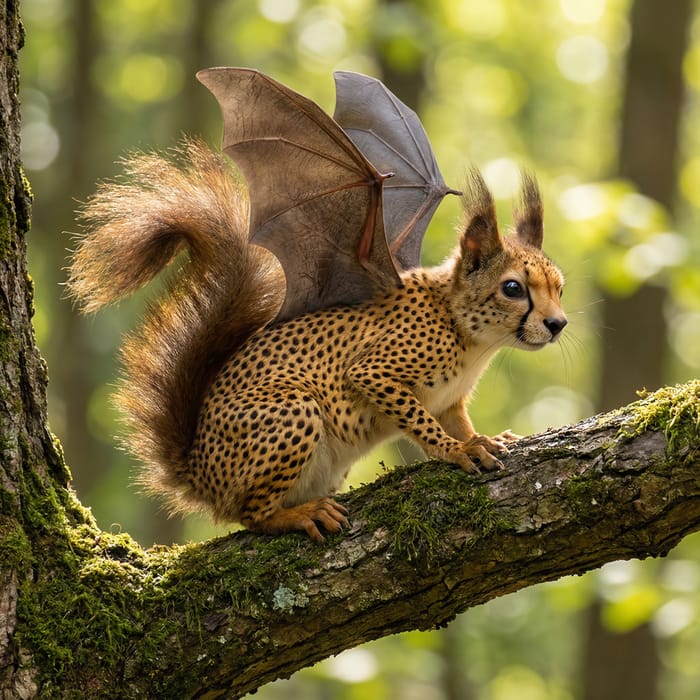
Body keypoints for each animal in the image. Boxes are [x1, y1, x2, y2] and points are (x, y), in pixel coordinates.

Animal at [68, 139, 567, 542]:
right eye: (512, 288)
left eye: (560, 286)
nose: (558, 324)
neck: (472, 339)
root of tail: (200, 474)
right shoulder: (374, 371)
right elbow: (420, 421)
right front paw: (457, 452)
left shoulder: (450, 400)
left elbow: (455, 421)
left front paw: (483, 439)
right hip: (293, 413)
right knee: (251, 516)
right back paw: (300, 516)